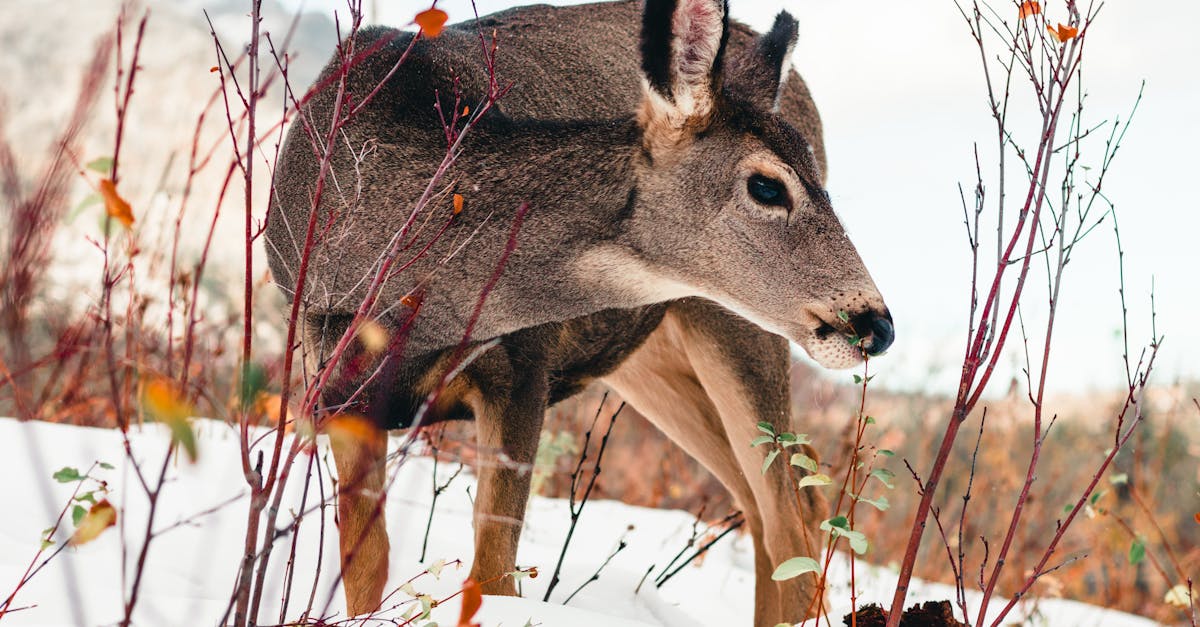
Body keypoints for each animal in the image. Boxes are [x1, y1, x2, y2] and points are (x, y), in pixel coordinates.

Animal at [267, 2, 897, 619]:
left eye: (820, 187)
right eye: (767, 187)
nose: (877, 323)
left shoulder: (523, 366)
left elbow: (493, 575)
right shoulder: (333, 383)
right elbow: (366, 567)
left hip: (732, 327)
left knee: (790, 513)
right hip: (649, 354)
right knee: (767, 502)